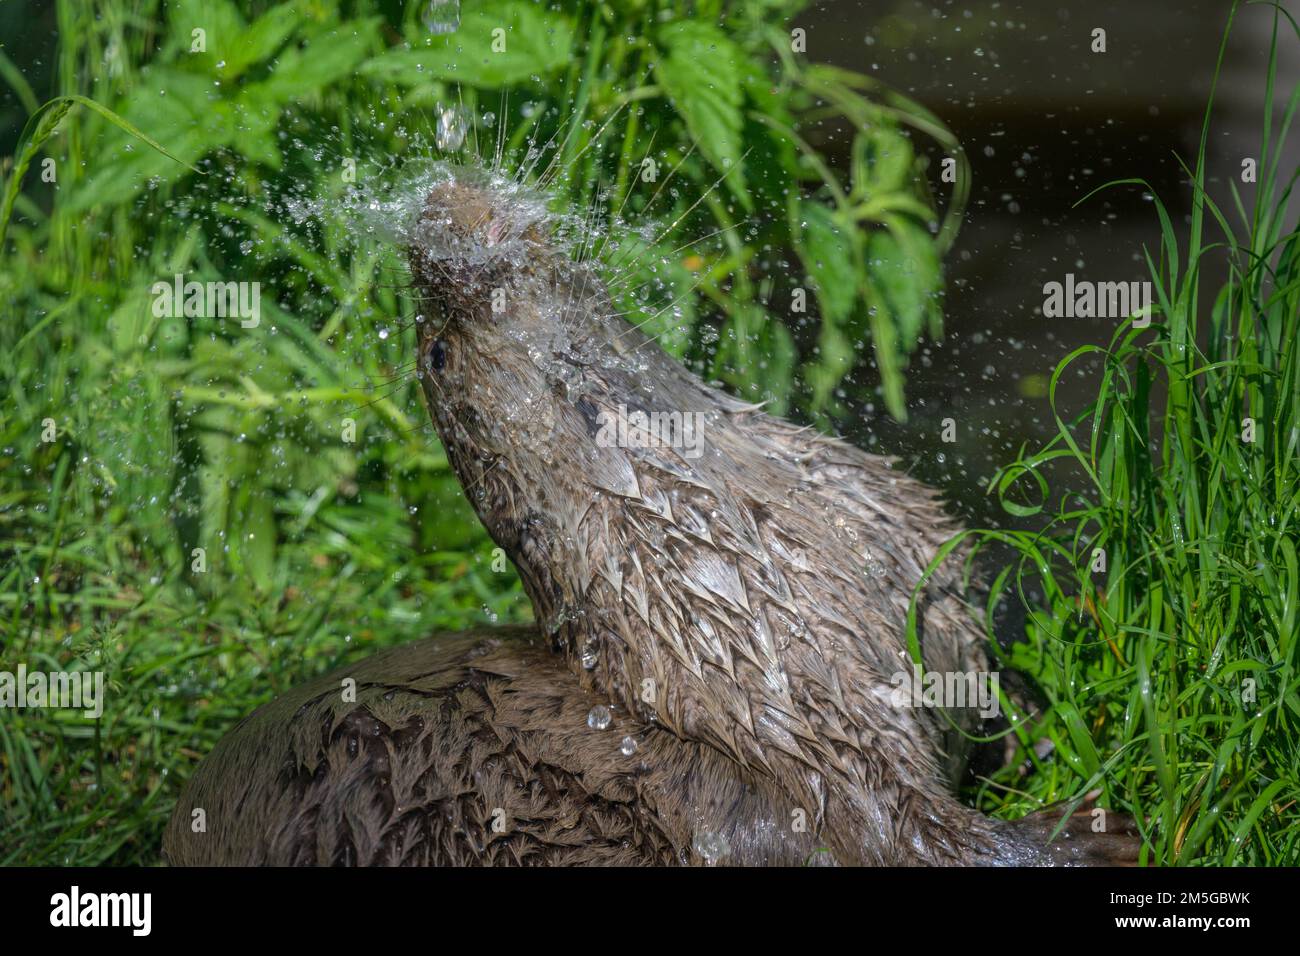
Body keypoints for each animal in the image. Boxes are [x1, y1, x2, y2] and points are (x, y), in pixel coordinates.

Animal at [164, 165, 1140, 866]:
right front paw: (1093, 831)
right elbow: (928, 838)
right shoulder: (831, 761)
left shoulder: (933, 599)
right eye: (436, 353)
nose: (429, 220)